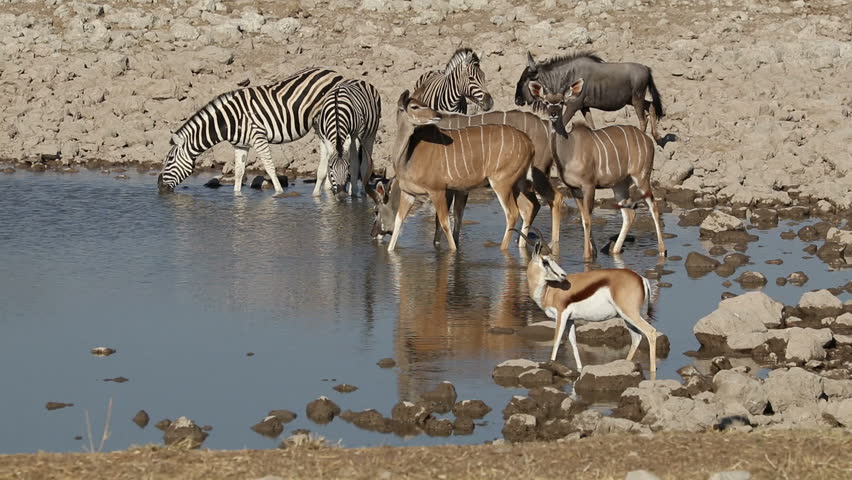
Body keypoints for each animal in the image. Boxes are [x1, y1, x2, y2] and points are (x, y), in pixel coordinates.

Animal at [157, 67, 344, 194]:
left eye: (170, 159)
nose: (159, 186)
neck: (230, 120)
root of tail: (333, 72)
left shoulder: (258, 138)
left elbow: (269, 167)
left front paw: (279, 193)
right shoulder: (240, 145)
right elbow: (239, 172)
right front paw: (237, 195)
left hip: (324, 120)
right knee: (329, 151)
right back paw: (328, 186)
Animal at [373, 90, 536, 252]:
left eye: (423, 104)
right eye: (414, 106)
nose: (437, 114)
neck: (408, 158)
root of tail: (529, 143)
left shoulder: (437, 190)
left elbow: (444, 222)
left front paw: (453, 251)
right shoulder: (409, 193)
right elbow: (399, 220)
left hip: (501, 183)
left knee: (512, 213)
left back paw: (503, 248)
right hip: (516, 183)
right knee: (528, 208)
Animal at [517, 228, 660, 378]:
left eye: (550, 260)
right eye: (545, 261)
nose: (563, 275)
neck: (549, 291)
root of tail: (641, 278)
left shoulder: (561, 315)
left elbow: (556, 340)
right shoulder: (570, 319)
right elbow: (573, 342)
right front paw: (579, 369)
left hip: (630, 313)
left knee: (650, 332)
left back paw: (652, 371)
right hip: (625, 317)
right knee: (637, 337)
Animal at [527, 78, 667, 262]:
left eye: (562, 102)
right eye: (546, 102)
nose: (553, 114)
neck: (569, 149)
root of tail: (648, 140)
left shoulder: (589, 185)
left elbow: (587, 219)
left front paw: (587, 256)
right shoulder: (574, 189)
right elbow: (583, 218)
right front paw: (592, 253)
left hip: (641, 176)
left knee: (654, 207)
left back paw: (662, 251)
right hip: (619, 185)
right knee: (629, 214)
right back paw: (614, 250)